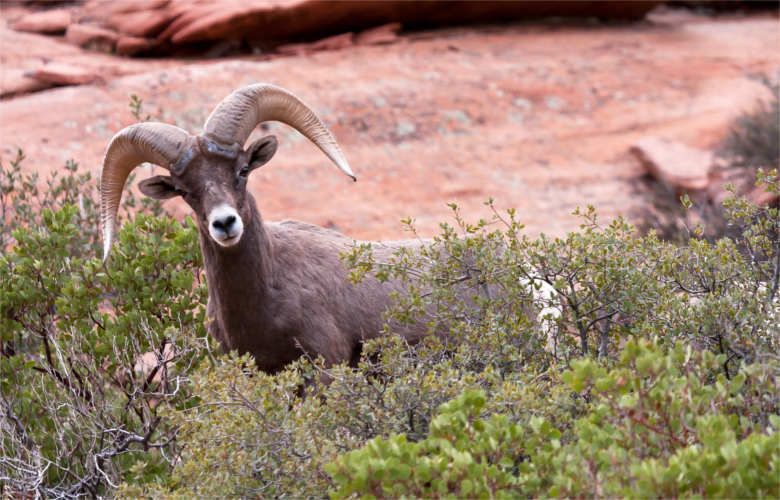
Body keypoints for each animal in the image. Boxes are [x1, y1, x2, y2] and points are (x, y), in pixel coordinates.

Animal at [100, 84, 561, 374]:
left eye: (243, 170)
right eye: (184, 191)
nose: (225, 223)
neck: (266, 298)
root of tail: (531, 280)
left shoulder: (325, 369)